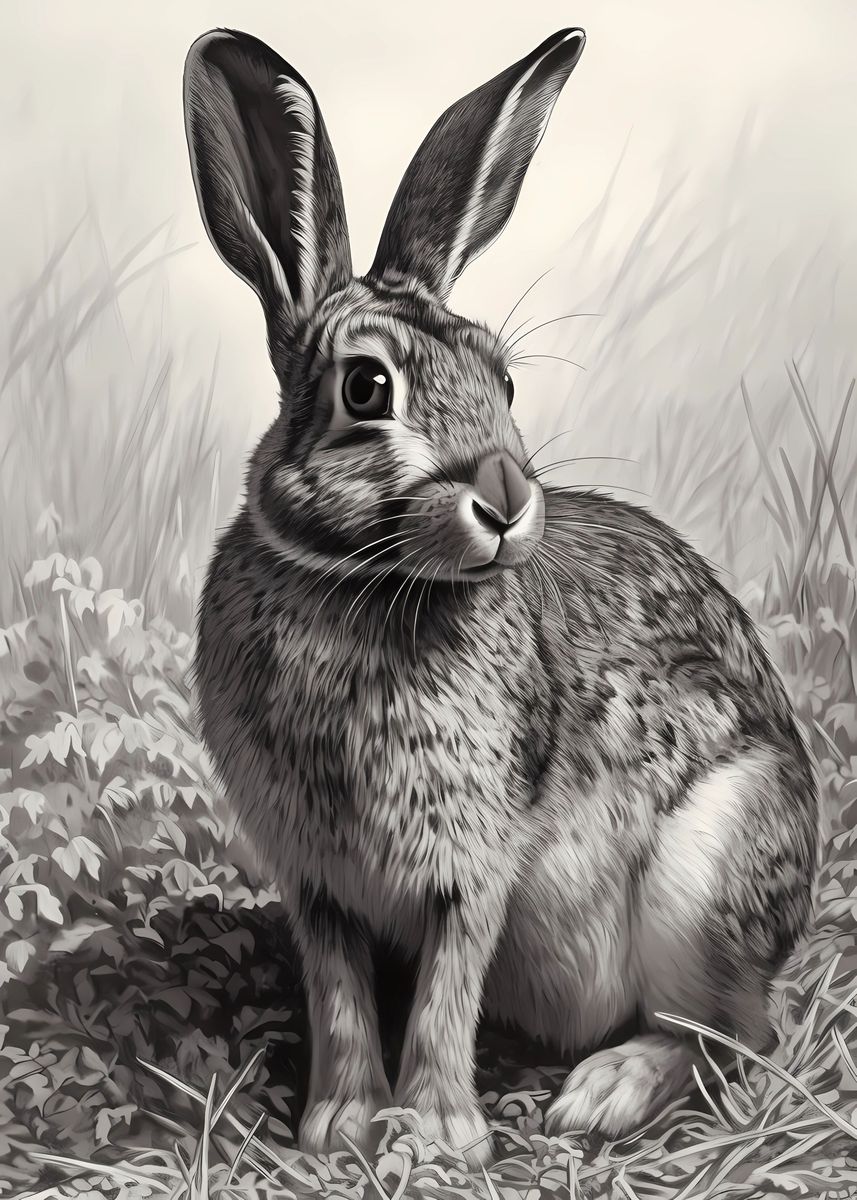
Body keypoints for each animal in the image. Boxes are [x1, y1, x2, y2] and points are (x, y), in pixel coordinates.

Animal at [183, 26, 819, 1164]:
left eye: (504, 381)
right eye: (366, 391)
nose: (507, 499)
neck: (371, 587)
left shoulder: (470, 860)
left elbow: (447, 986)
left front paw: (437, 1133)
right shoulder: (314, 877)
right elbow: (340, 993)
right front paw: (341, 1122)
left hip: (702, 883)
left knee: (739, 1035)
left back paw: (605, 1089)